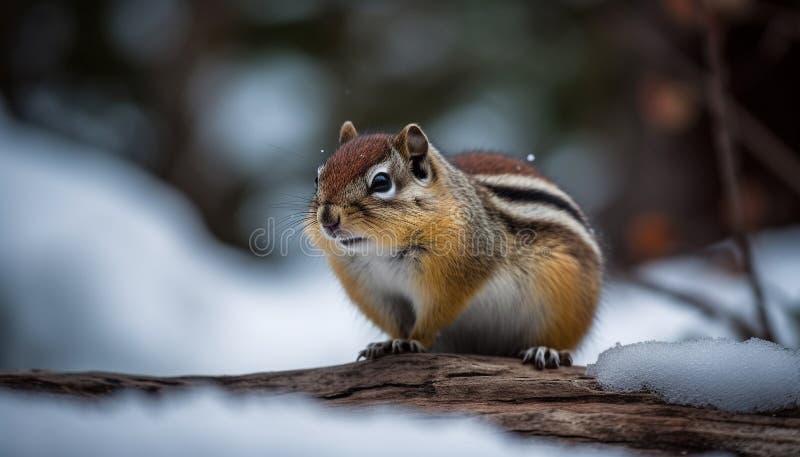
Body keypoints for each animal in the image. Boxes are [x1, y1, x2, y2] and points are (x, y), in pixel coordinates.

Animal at [306, 121, 602, 369]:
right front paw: (386, 344)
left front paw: (411, 341)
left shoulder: (453, 279)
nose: (327, 218)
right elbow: (396, 322)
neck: (379, 253)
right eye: (318, 178)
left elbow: (435, 314)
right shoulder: (374, 291)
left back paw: (546, 350)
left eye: (381, 182)